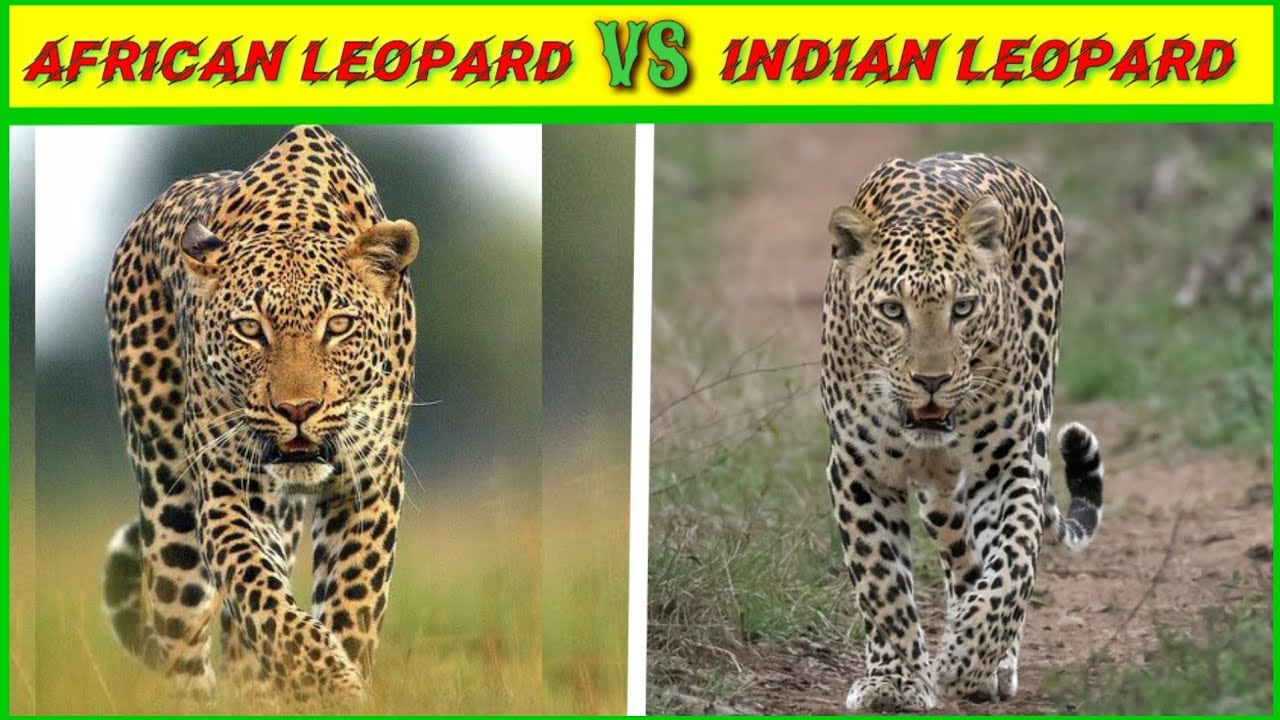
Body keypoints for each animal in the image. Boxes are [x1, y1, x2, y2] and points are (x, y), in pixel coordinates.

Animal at [100, 125, 419, 704]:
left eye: (338, 325)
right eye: (251, 329)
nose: (297, 409)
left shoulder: (369, 484)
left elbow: (352, 605)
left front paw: (339, 683)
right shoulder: (229, 491)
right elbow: (263, 598)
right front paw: (324, 678)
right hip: (169, 508)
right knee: (186, 647)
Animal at [819, 152, 1104, 711]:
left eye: (964, 307)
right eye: (892, 311)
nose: (932, 381)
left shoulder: (1006, 465)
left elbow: (1013, 562)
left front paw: (968, 657)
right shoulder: (857, 472)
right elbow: (880, 581)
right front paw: (896, 681)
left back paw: (992, 662)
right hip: (939, 500)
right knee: (961, 559)